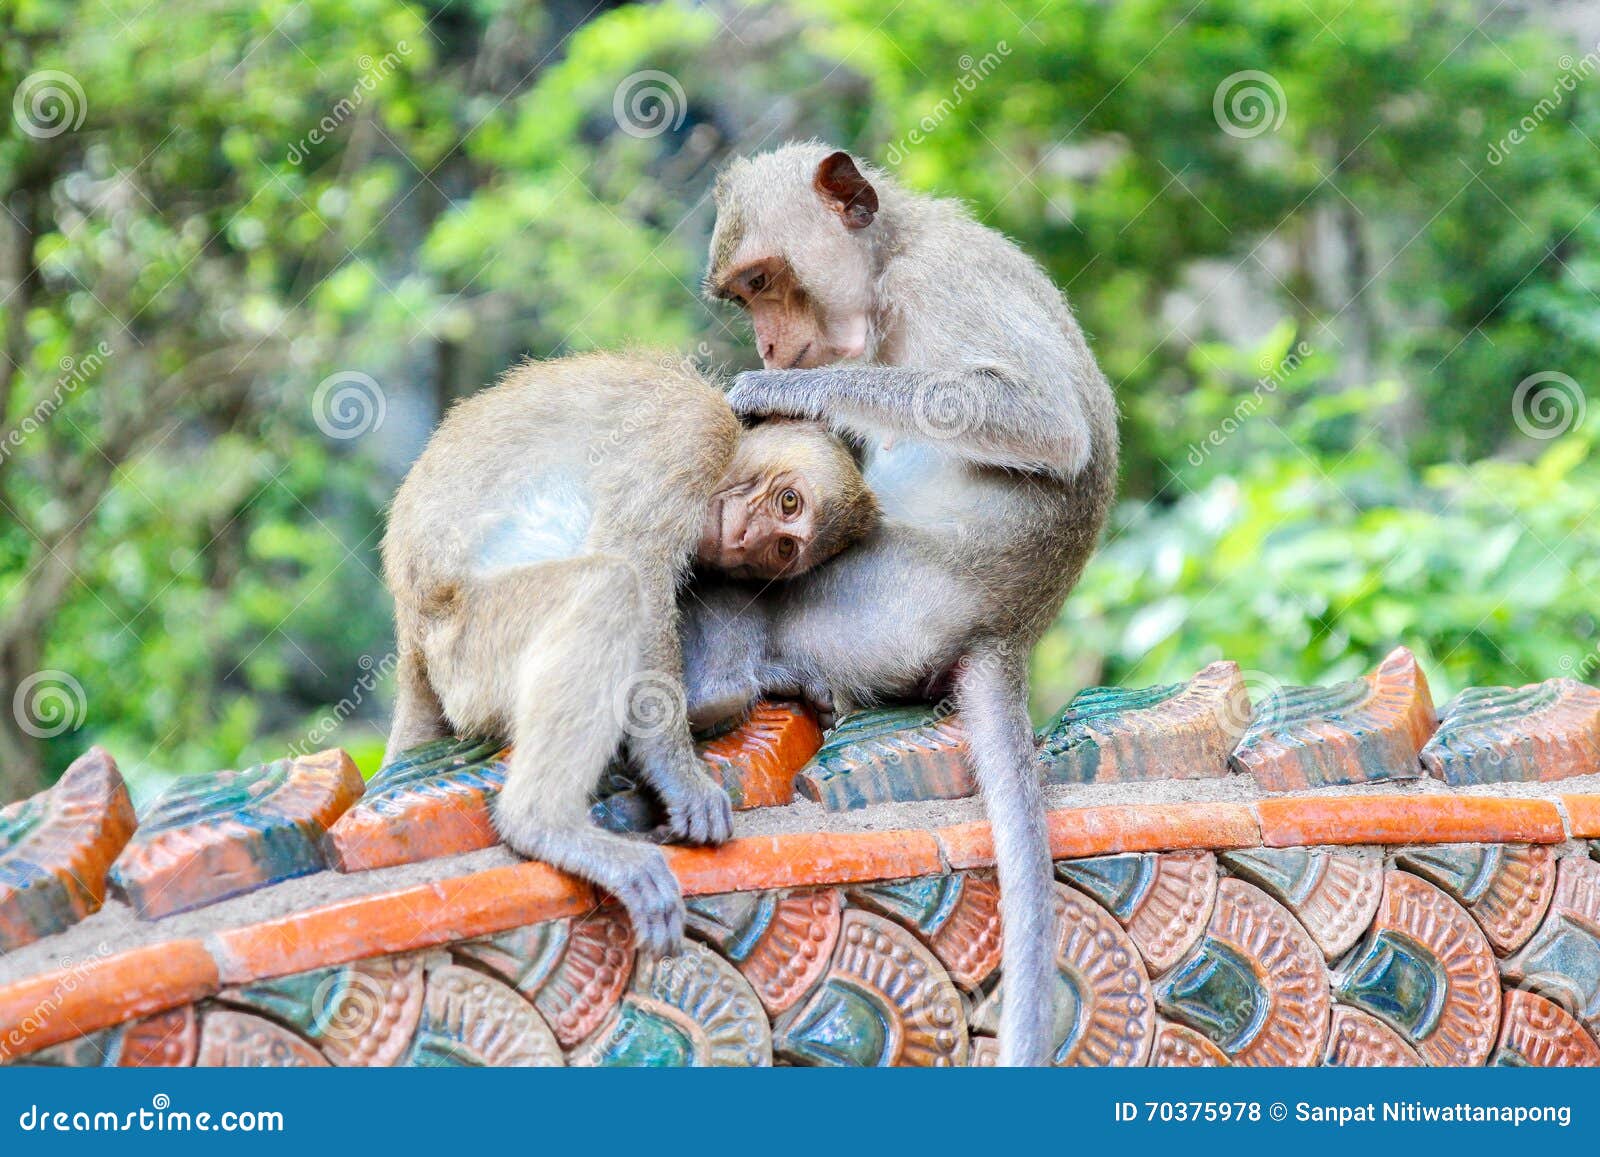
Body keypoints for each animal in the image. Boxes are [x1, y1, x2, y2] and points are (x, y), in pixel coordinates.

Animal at [381, 351, 878, 955]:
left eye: (782, 549)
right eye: (788, 502)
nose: (747, 540)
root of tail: (414, 641)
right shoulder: (687, 435)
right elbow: (636, 564)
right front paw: (677, 769)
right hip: (473, 655)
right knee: (610, 585)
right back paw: (544, 823)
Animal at [685, 144, 1119, 1066]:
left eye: (765, 280)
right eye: (743, 295)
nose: (768, 344)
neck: (888, 264)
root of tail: (1007, 632)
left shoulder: (939, 285)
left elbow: (1045, 424)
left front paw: (787, 391)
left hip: (878, 601)